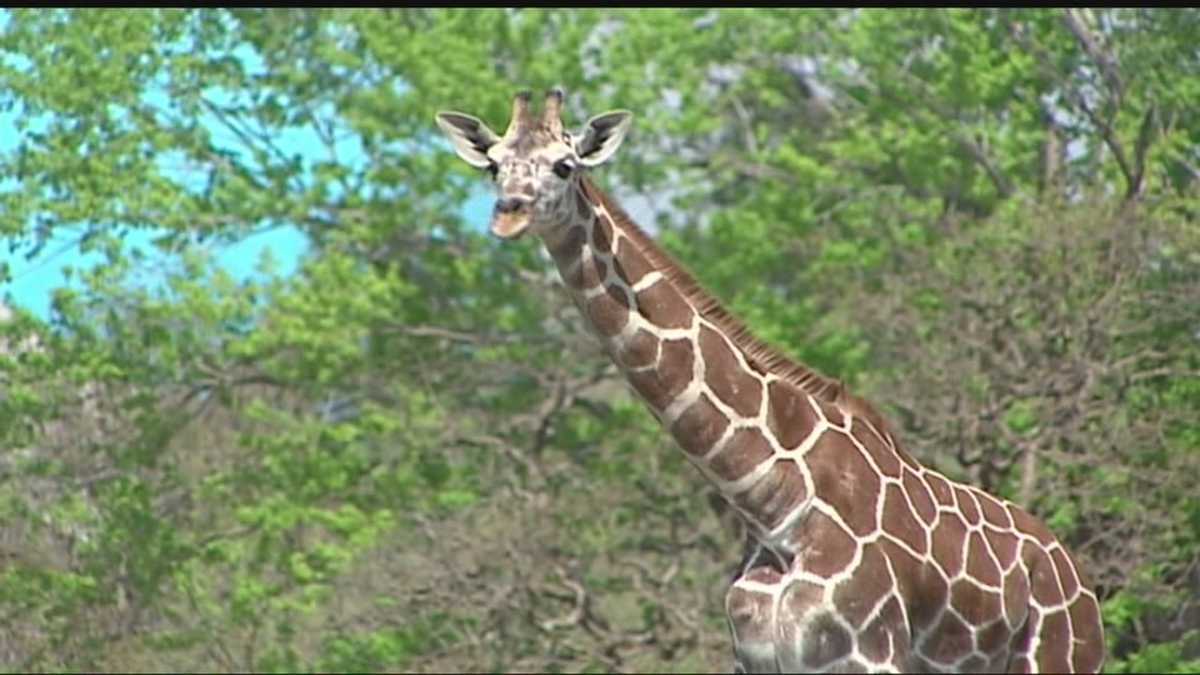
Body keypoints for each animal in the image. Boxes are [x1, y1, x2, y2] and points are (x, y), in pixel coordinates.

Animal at [435, 90, 1106, 673]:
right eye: (494, 165)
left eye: (565, 164)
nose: (509, 213)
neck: (773, 501)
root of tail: (1081, 584)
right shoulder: (756, 658)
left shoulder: (868, 656)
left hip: (1057, 663)